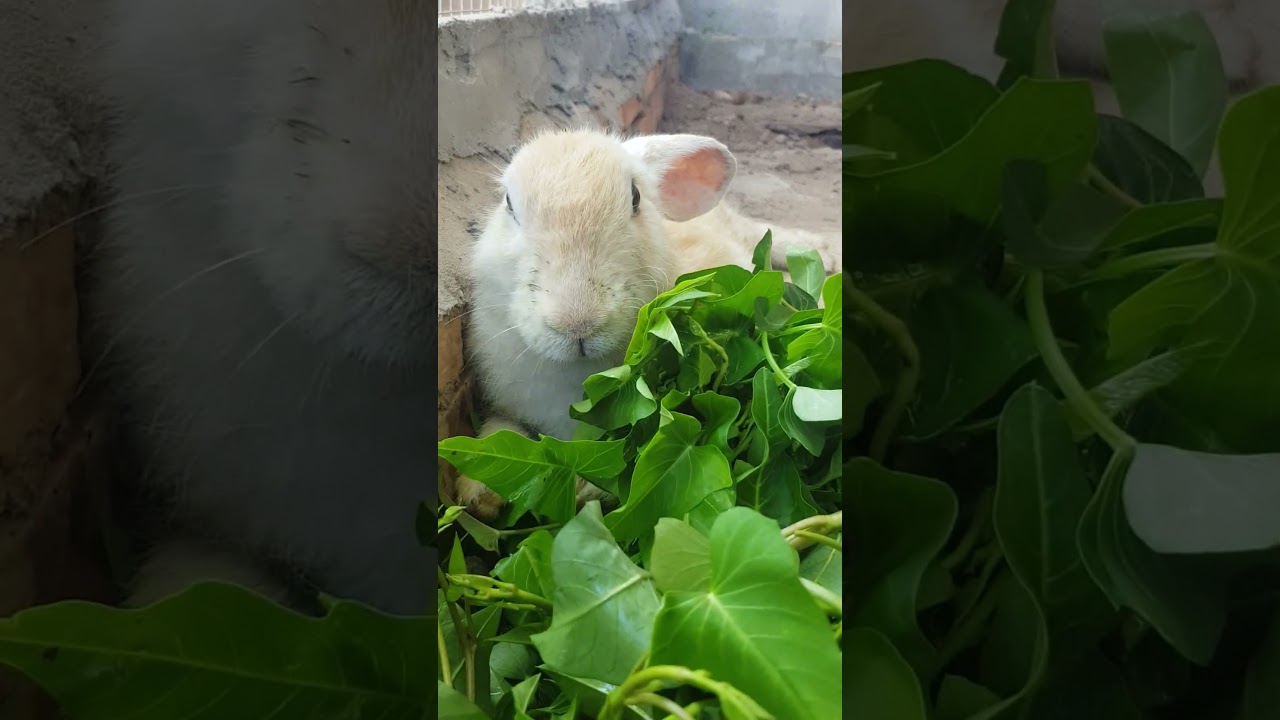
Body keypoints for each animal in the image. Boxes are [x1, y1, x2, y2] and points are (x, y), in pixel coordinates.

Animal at [452, 128, 840, 520]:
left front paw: (586, 491)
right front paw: (478, 496)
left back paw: (823, 249)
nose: (578, 323)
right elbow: (499, 433)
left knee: (764, 232)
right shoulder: (505, 404)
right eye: (508, 204)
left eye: (635, 198)